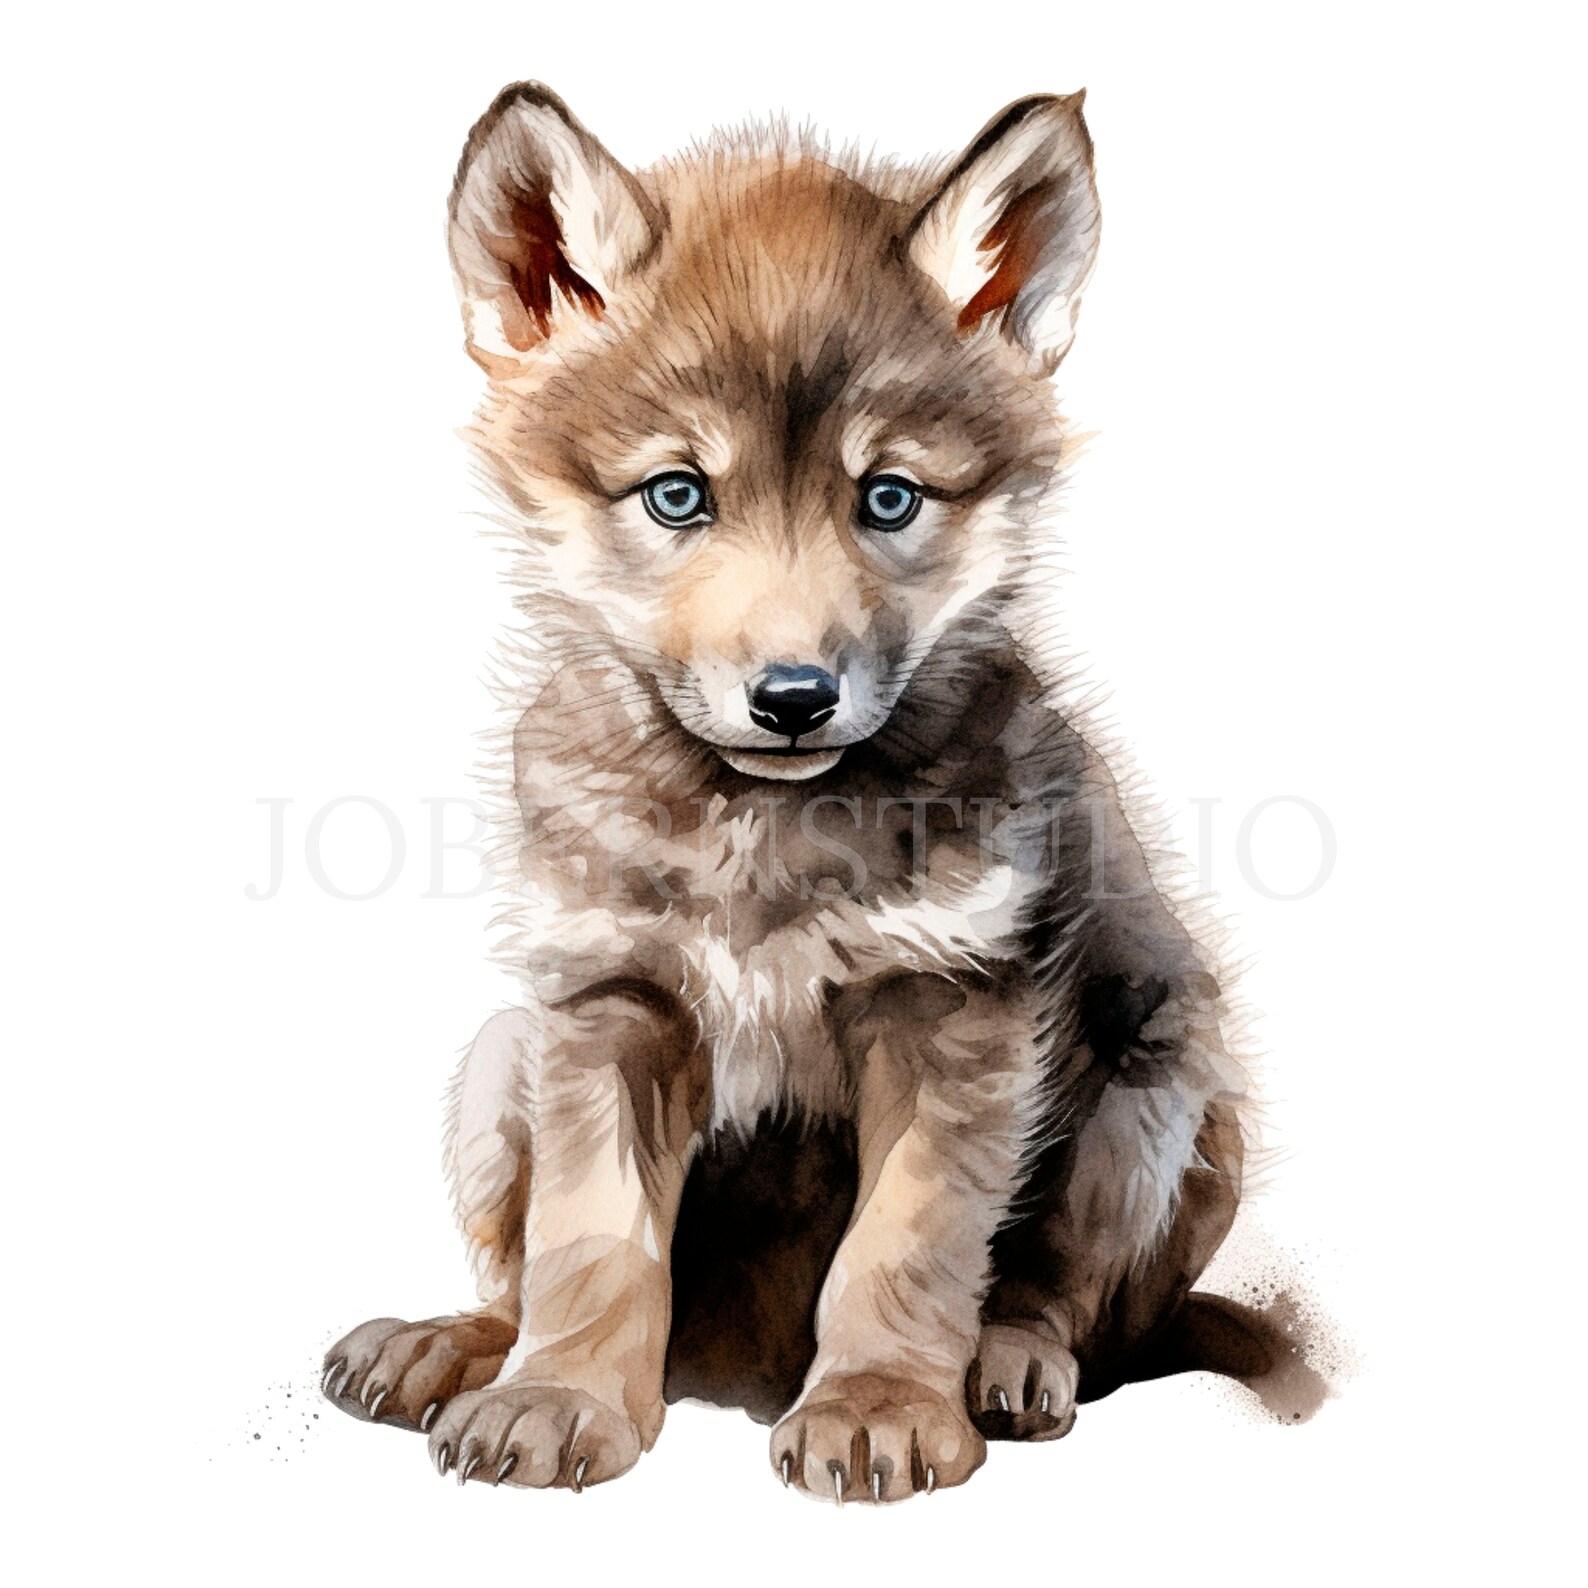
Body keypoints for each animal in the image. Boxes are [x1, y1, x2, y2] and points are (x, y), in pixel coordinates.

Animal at [322, 81, 1289, 1503]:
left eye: (887, 498)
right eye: (678, 494)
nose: (792, 697)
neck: (755, 840)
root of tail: (731, 1367)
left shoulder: (953, 1004)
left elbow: (906, 1245)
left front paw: (878, 1406)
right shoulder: (610, 1001)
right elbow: (589, 1244)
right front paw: (562, 1400)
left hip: (1151, 1090)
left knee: (1068, 1300)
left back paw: (1009, 1363)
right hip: (502, 1058)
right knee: (519, 1273)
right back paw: (453, 1346)